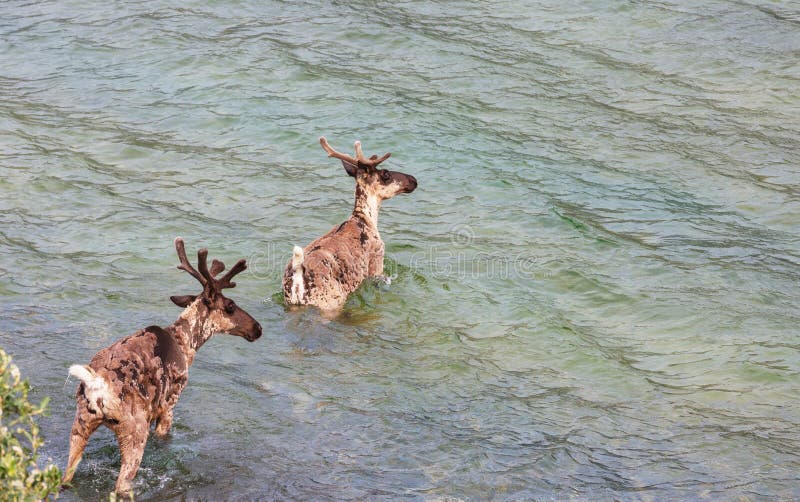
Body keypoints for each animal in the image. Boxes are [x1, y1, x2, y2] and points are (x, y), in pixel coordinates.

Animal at [62, 238, 262, 496]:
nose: (258, 328)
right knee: (121, 484)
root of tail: (96, 388)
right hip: (134, 431)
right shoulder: (169, 404)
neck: (186, 343)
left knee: (65, 475)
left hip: (80, 425)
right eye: (230, 305)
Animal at [283, 137, 418, 312]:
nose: (413, 180)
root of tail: (298, 280)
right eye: (386, 174)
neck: (365, 218)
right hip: (329, 302)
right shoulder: (377, 262)